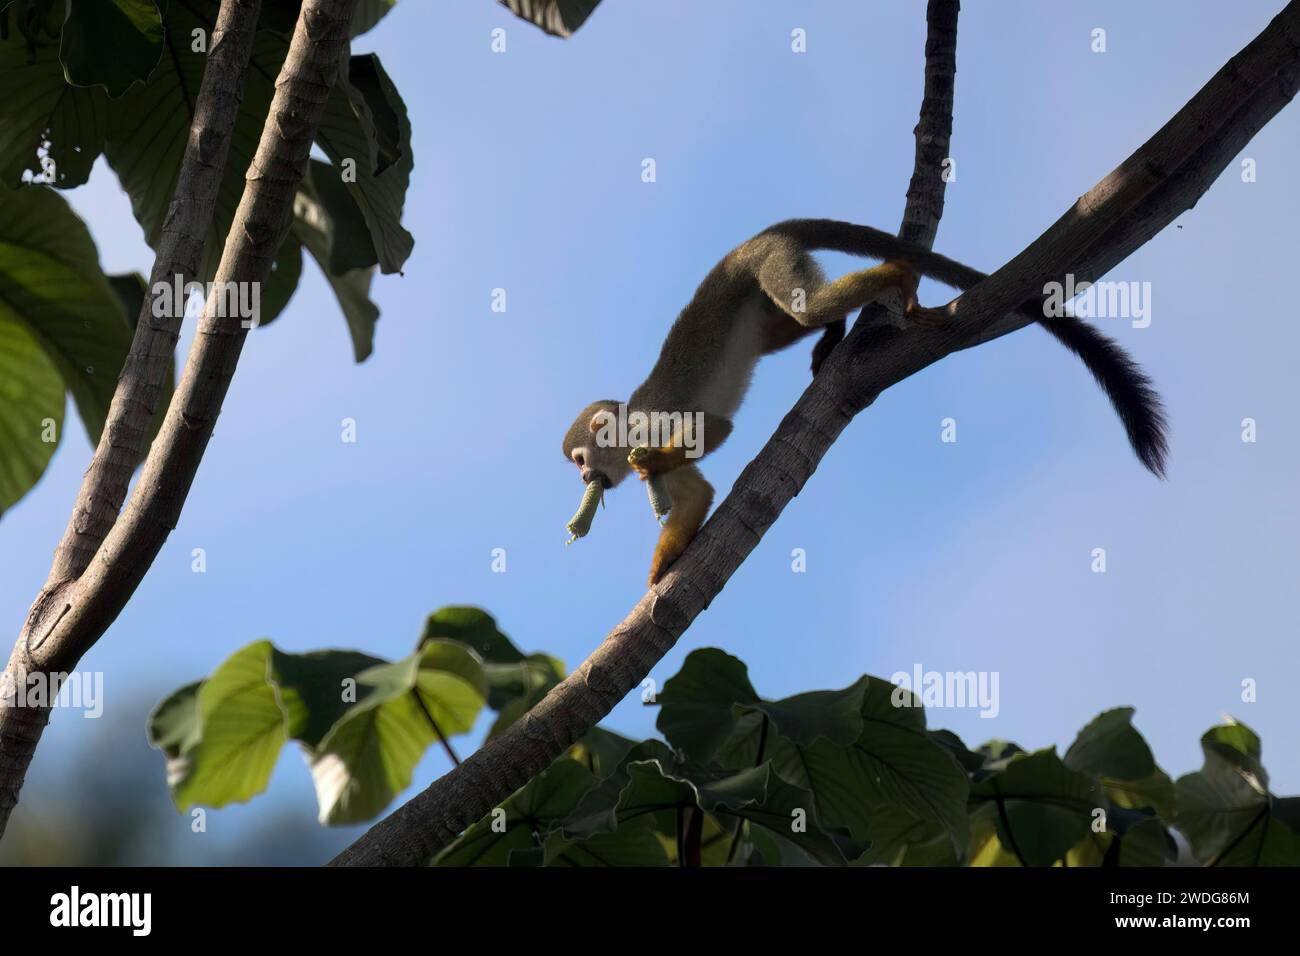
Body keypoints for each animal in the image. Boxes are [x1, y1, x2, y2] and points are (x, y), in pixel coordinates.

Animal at [563, 218, 1167, 586]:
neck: (630, 425)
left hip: (768, 261)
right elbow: (695, 493)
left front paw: (656, 465)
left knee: (804, 305)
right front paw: (663, 566)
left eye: (580, 460)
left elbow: (711, 428)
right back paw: (837, 328)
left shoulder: (649, 422)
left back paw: (896, 278)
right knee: (787, 322)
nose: (585, 478)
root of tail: (753, 239)